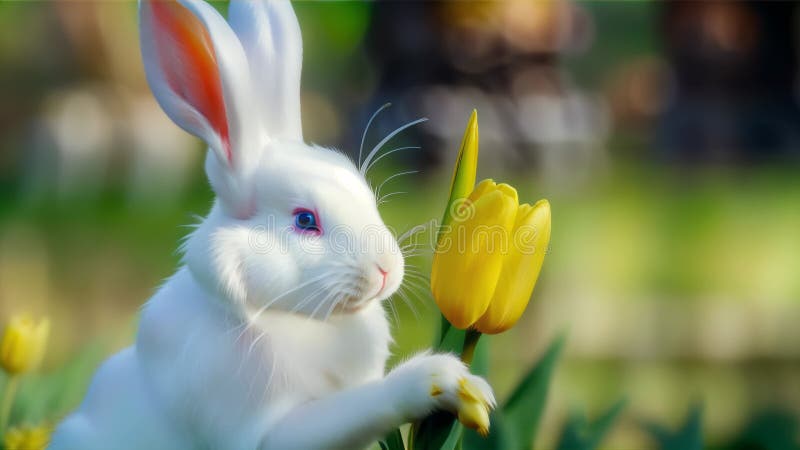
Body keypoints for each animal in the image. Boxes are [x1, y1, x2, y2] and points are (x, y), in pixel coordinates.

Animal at [48, 1, 494, 450]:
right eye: (305, 220)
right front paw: (449, 383)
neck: (297, 319)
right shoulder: (260, 431)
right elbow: (354, 410)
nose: (385, 270)